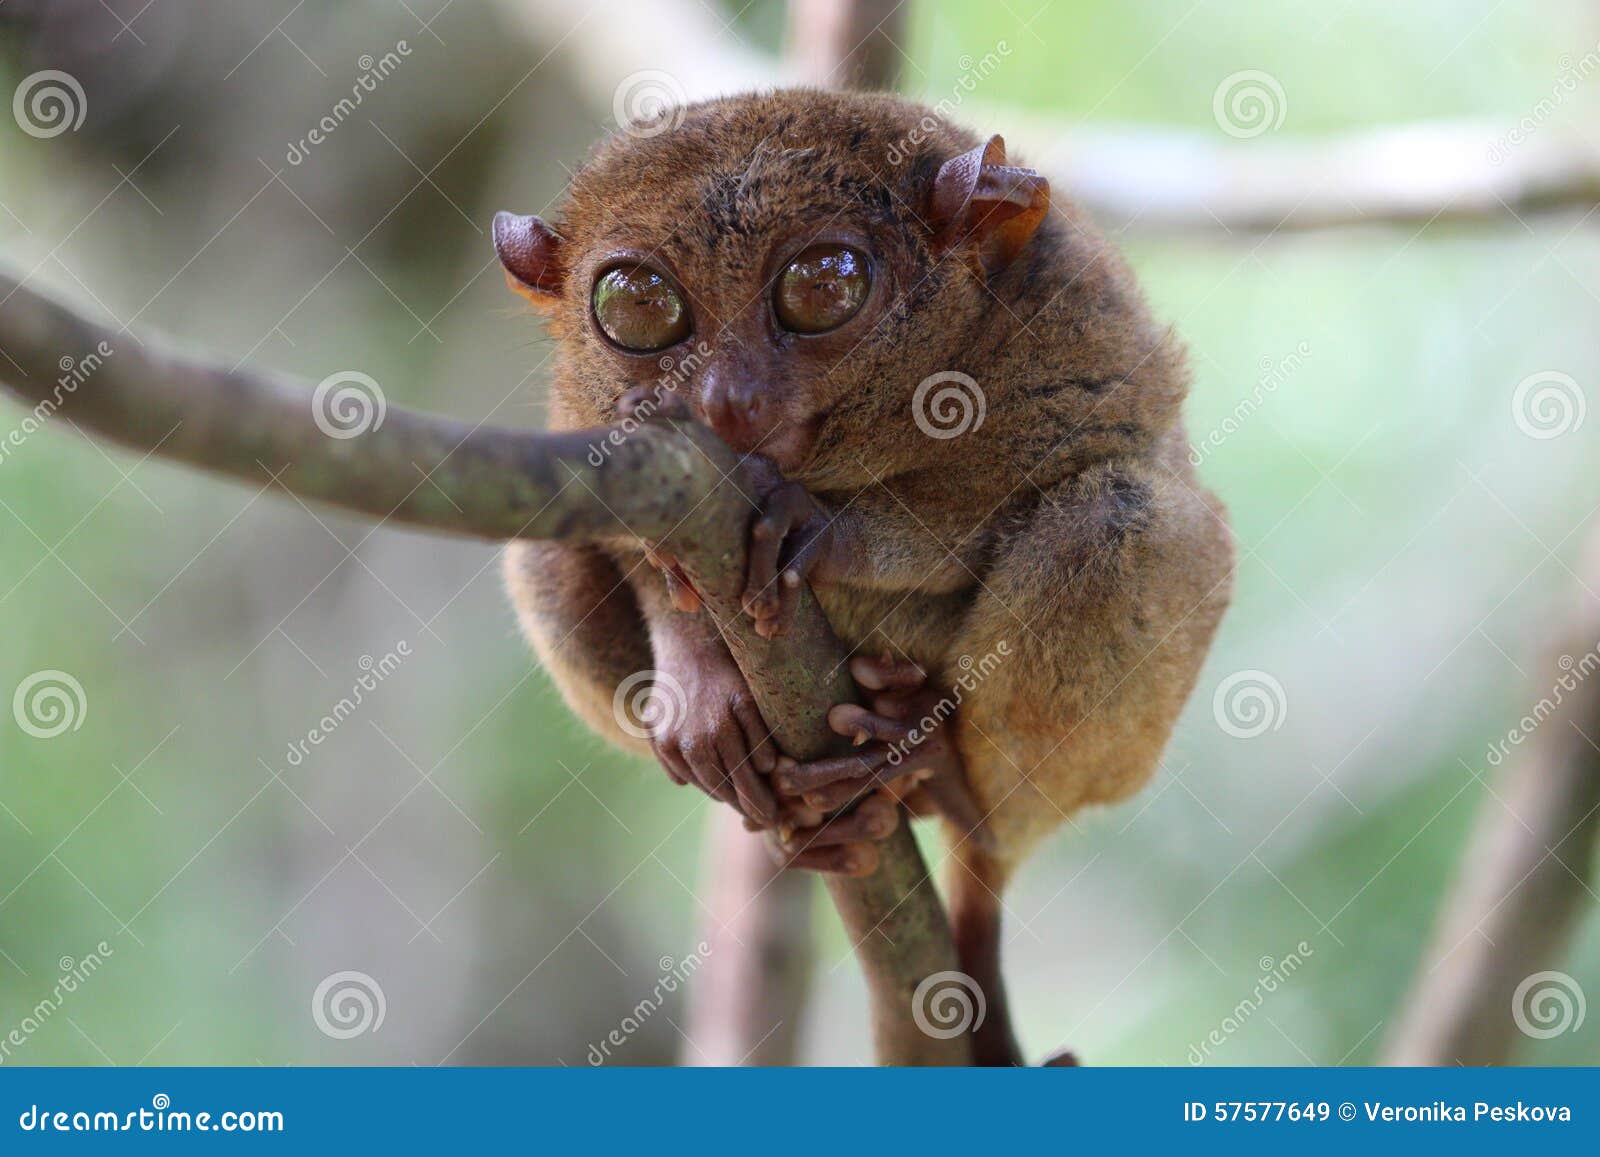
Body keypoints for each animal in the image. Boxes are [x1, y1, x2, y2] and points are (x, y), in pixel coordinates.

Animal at [495, 89, 1233, 1066]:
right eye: (639, 306)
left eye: (823, 286)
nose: (727, 399)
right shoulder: (588, 415)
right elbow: (627, 537)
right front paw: (700, 687)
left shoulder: (1068, 322)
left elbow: (1071, 442)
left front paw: (822, 528)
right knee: (541, 552)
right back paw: (817, 819)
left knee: (1118, 517)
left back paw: (943, 779)